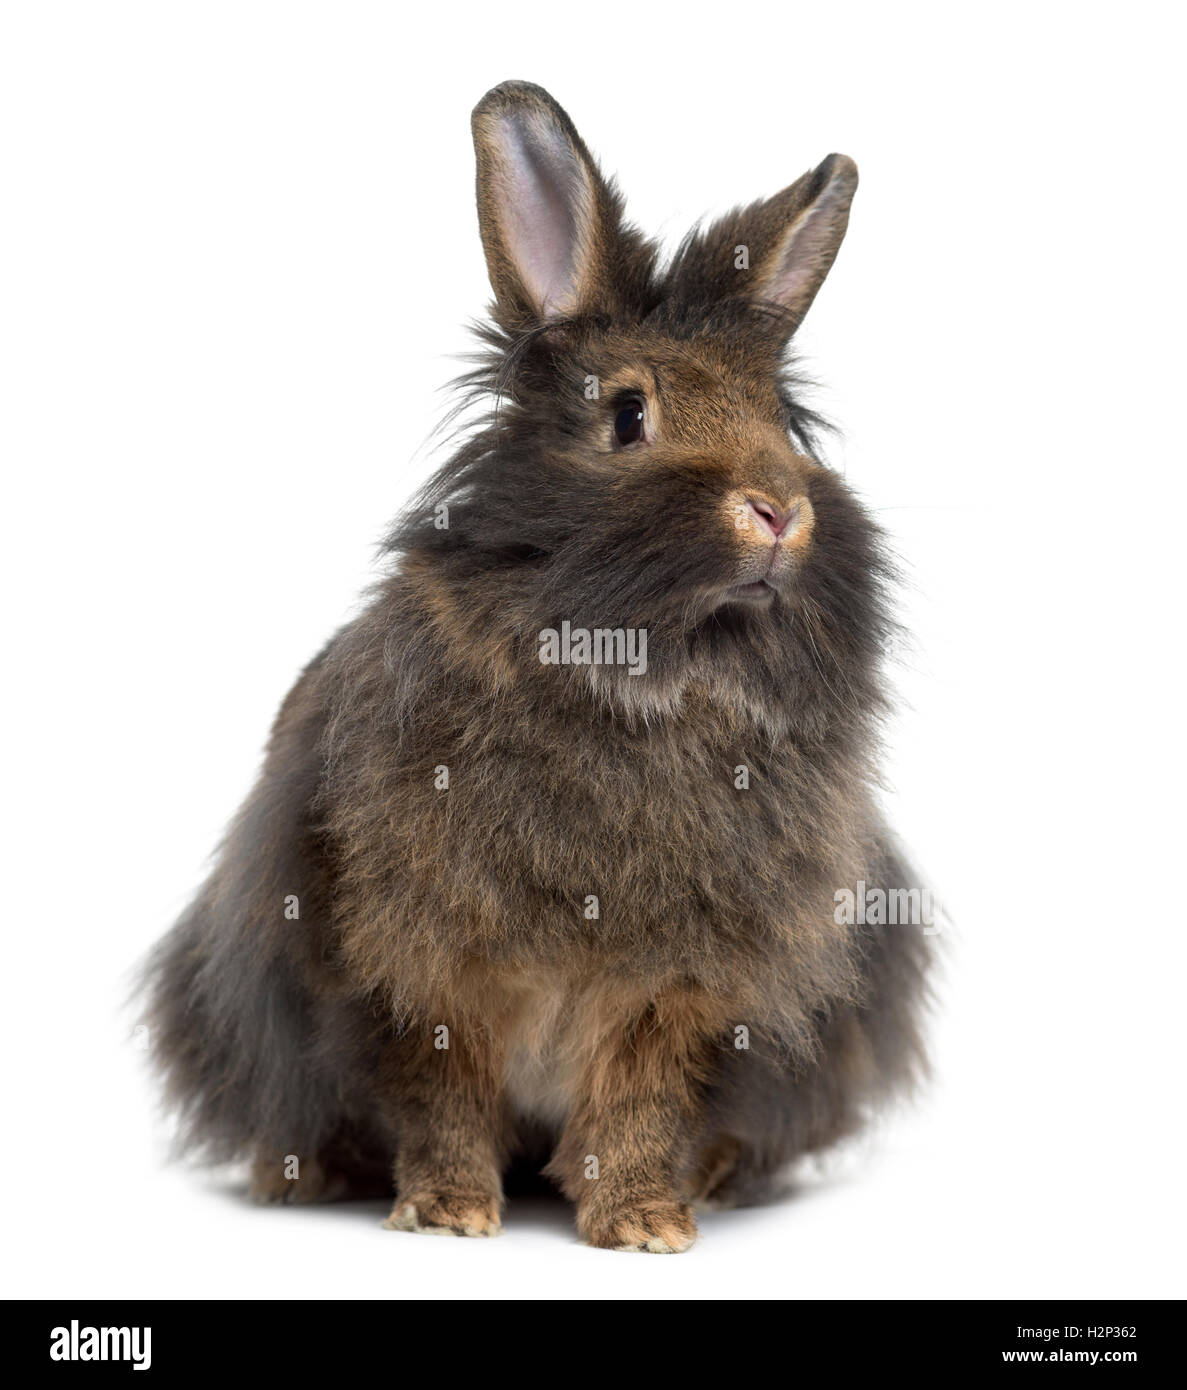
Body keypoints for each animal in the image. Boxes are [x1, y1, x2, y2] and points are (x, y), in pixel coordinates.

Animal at [141, 79, 931, 1253]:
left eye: (783, 426)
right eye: (626, 413)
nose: (777, 512)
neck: (636, 679)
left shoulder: (681, 990)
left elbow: (641, 1102)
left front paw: (645, 1223)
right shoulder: (411, 968)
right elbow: (437, 1092)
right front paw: (447, 1212)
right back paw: (311, 1177)